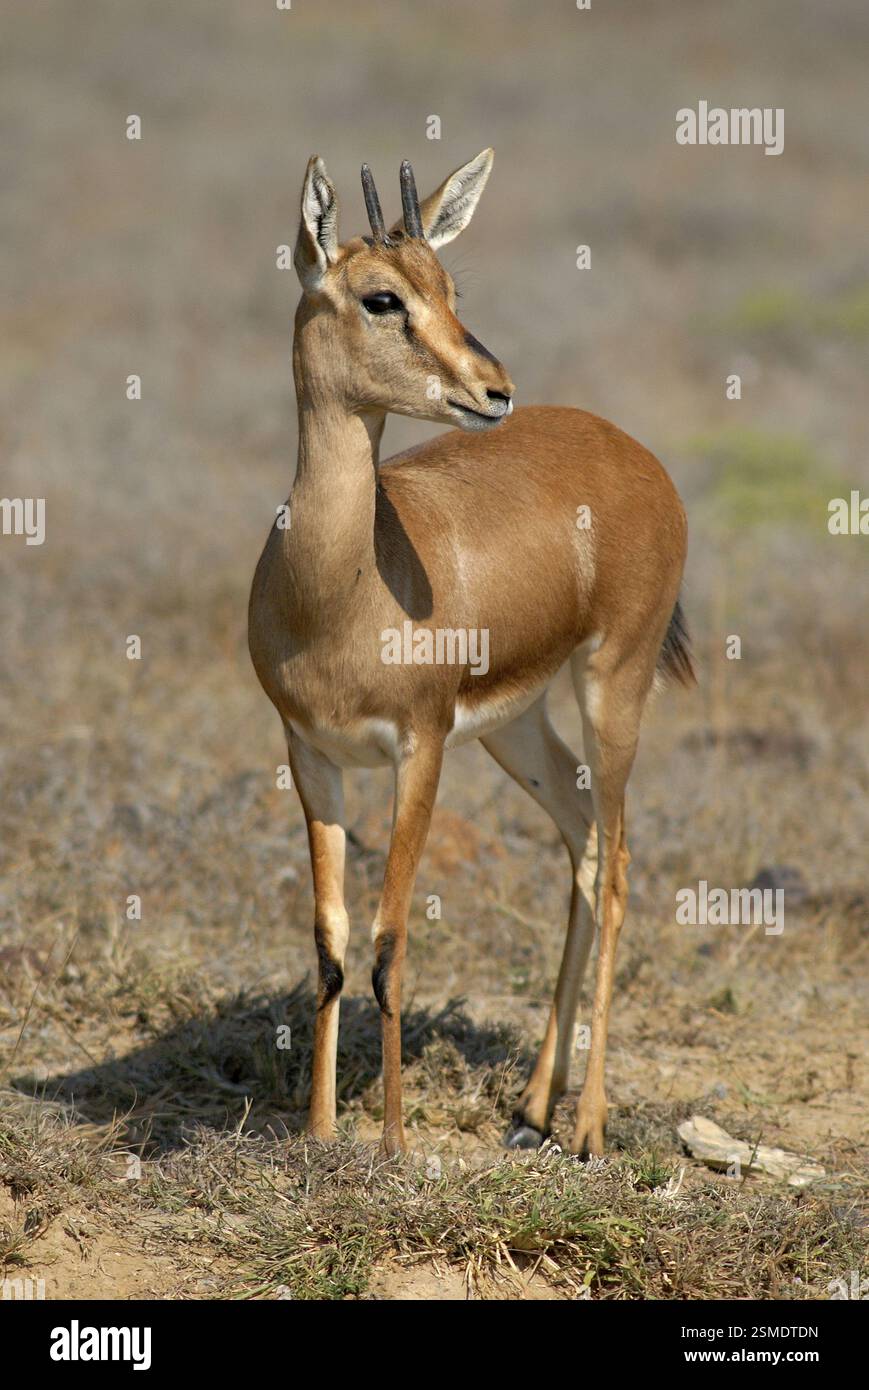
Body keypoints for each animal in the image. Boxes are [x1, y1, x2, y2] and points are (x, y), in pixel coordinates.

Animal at [248, 149, 694, 1158]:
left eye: (451, 288)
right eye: (380, 297)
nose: (493, 389)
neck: (338, 592)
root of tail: (629, 449)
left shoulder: (420, 750)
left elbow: (389, 945)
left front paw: (391, 1147)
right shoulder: (310, 753)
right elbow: (331, 945)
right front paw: (320, 1138)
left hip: (612, 689)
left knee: (617, 863)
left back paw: (587, 1127)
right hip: (516, 726)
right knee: (581, 844)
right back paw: (531, 1109)